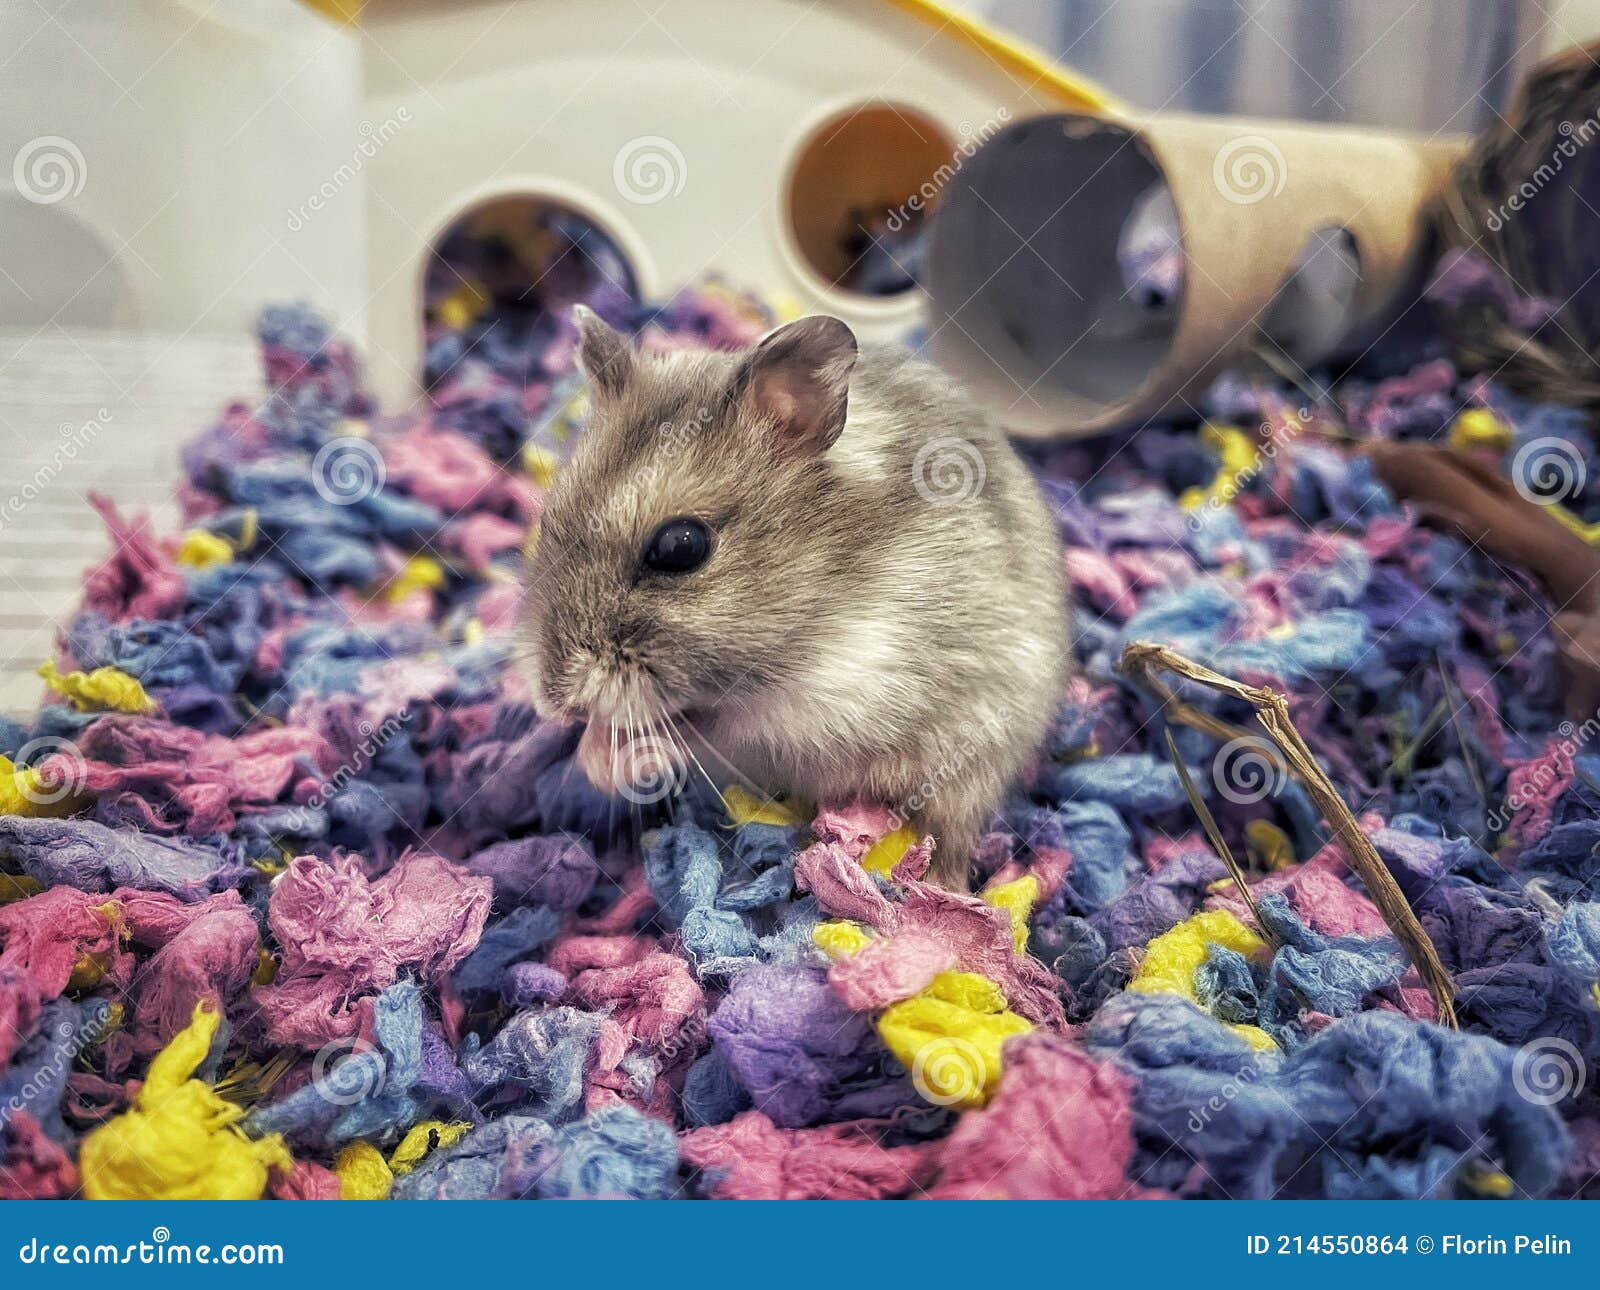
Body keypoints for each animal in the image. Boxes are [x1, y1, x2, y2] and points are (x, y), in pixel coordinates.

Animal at [520, 304, 1070, 888]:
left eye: (680, 546)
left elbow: (702, 730)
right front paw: (592, 752)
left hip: (971, 763)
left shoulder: (831, 701)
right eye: (546, 525)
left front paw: (620, 757)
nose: (554, 705)